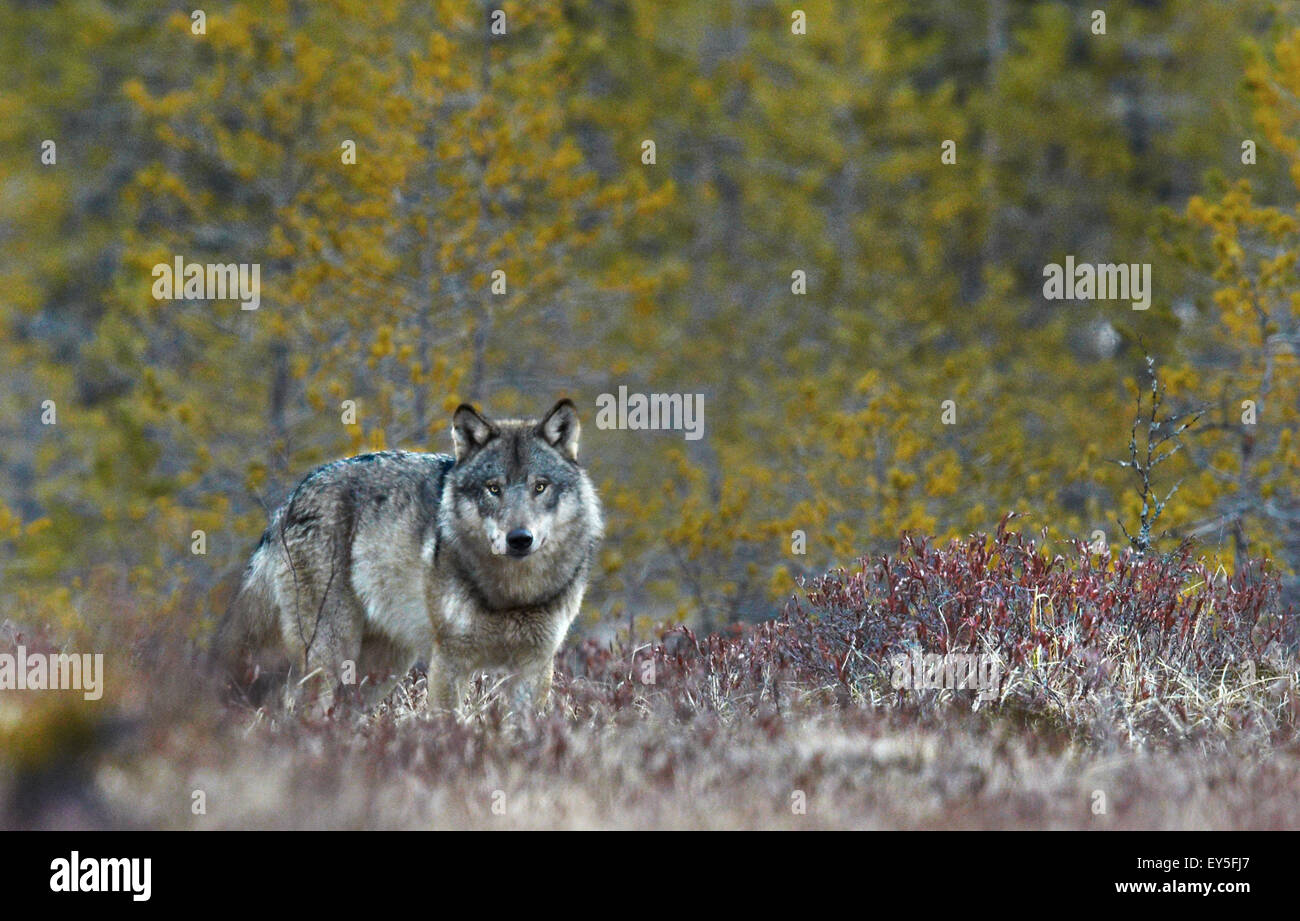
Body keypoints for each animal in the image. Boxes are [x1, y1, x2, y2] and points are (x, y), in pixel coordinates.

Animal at [212, 399, 603, 712]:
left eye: (540, 486)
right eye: (494, 489)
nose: (520, 539)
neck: (513, 595)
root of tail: (292, 497)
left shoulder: (535, 667)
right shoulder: (450, 660)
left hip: (381, 669)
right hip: (331, 653)